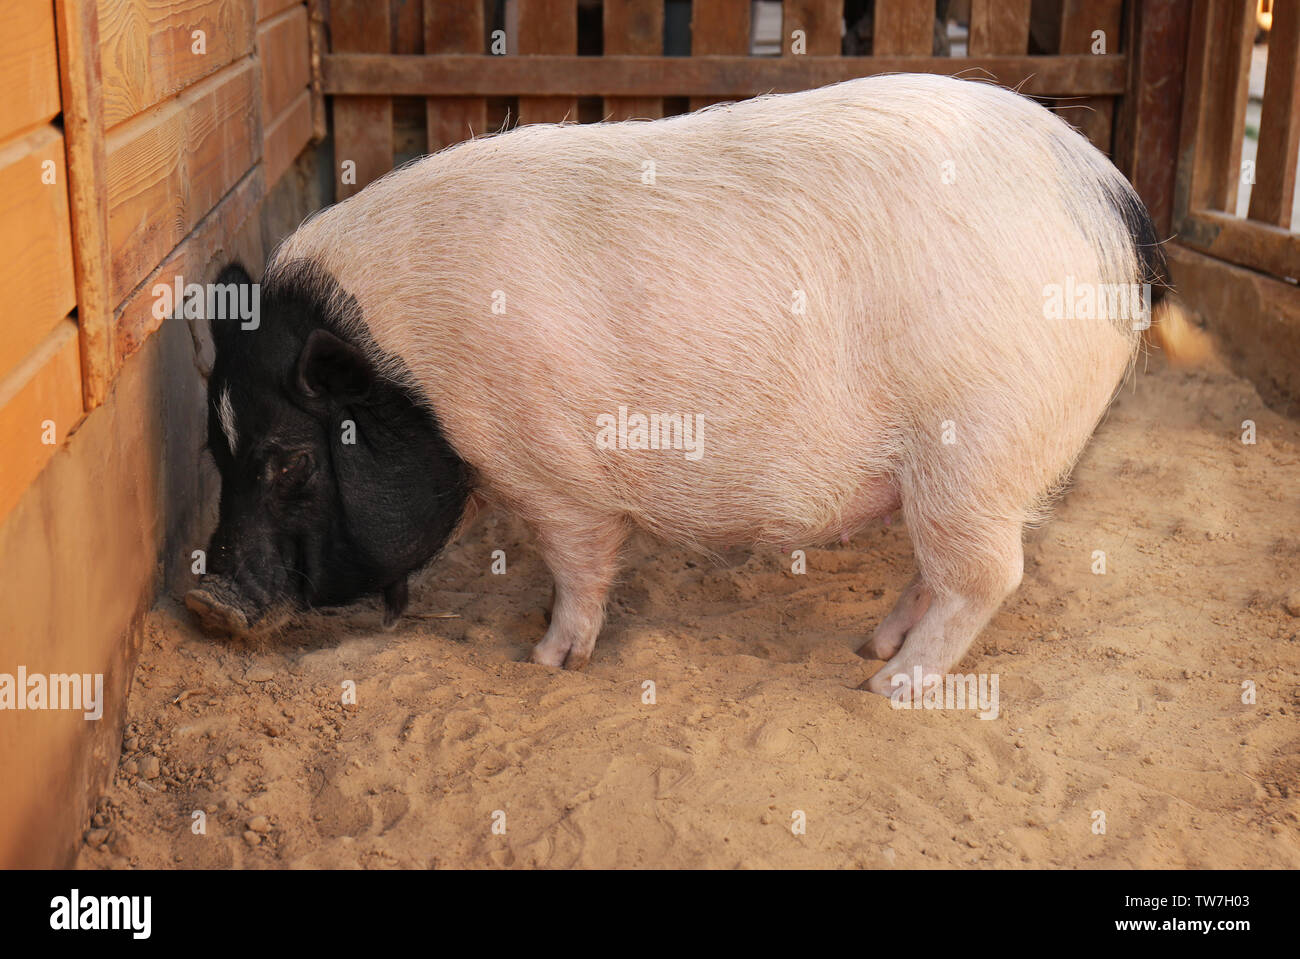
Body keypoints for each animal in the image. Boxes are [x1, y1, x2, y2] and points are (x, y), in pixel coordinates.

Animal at [186, 73, 1198, 695]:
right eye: (213, 450)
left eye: (289, 462)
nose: (205, 598)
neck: (418, 372)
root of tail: (1114, 203)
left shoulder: (552, 472)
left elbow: (579, 564)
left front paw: (544, 660)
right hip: (947, 472)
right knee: (936, 569)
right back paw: (873, 647)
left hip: (980, 446)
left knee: (987, 577)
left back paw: (886, 685)